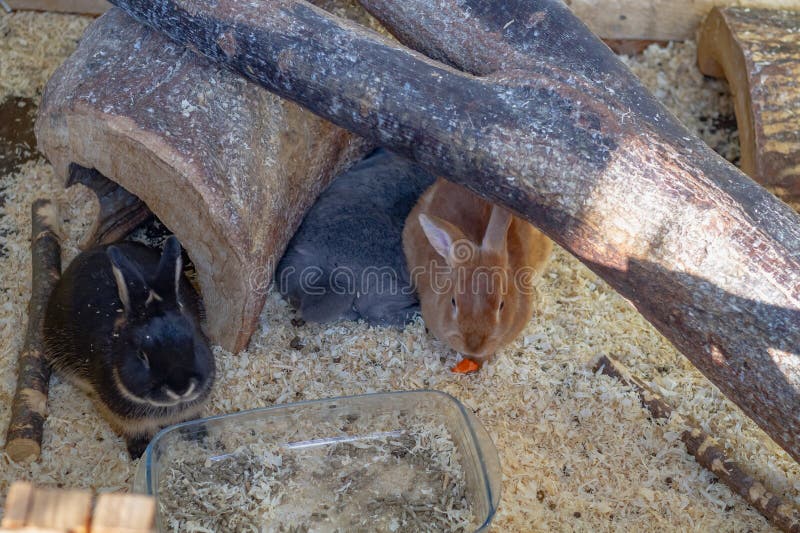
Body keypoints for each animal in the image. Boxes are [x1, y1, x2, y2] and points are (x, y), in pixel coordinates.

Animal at [43, 235, 215, 458]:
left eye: (193, 342)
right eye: (142, 355)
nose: (180, 388)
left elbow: (191, 421)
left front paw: (200, 439)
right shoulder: (127, 419)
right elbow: (138, 434)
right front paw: (140, 454)